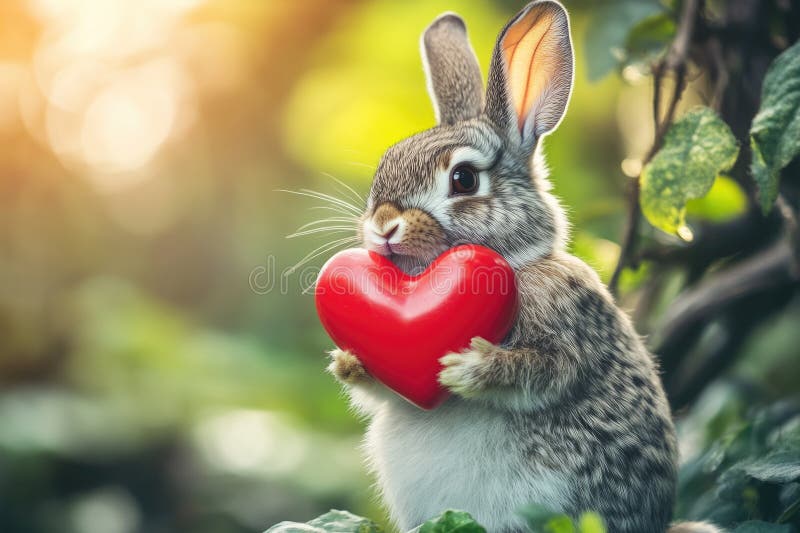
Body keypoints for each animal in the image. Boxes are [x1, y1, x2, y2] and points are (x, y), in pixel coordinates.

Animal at [327, 2, 721, 532]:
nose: (384, 226)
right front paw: (348, 361)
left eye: (464, 179)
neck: (516, 262)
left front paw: (468, 367)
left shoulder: (565, 325)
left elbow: (546, 370)